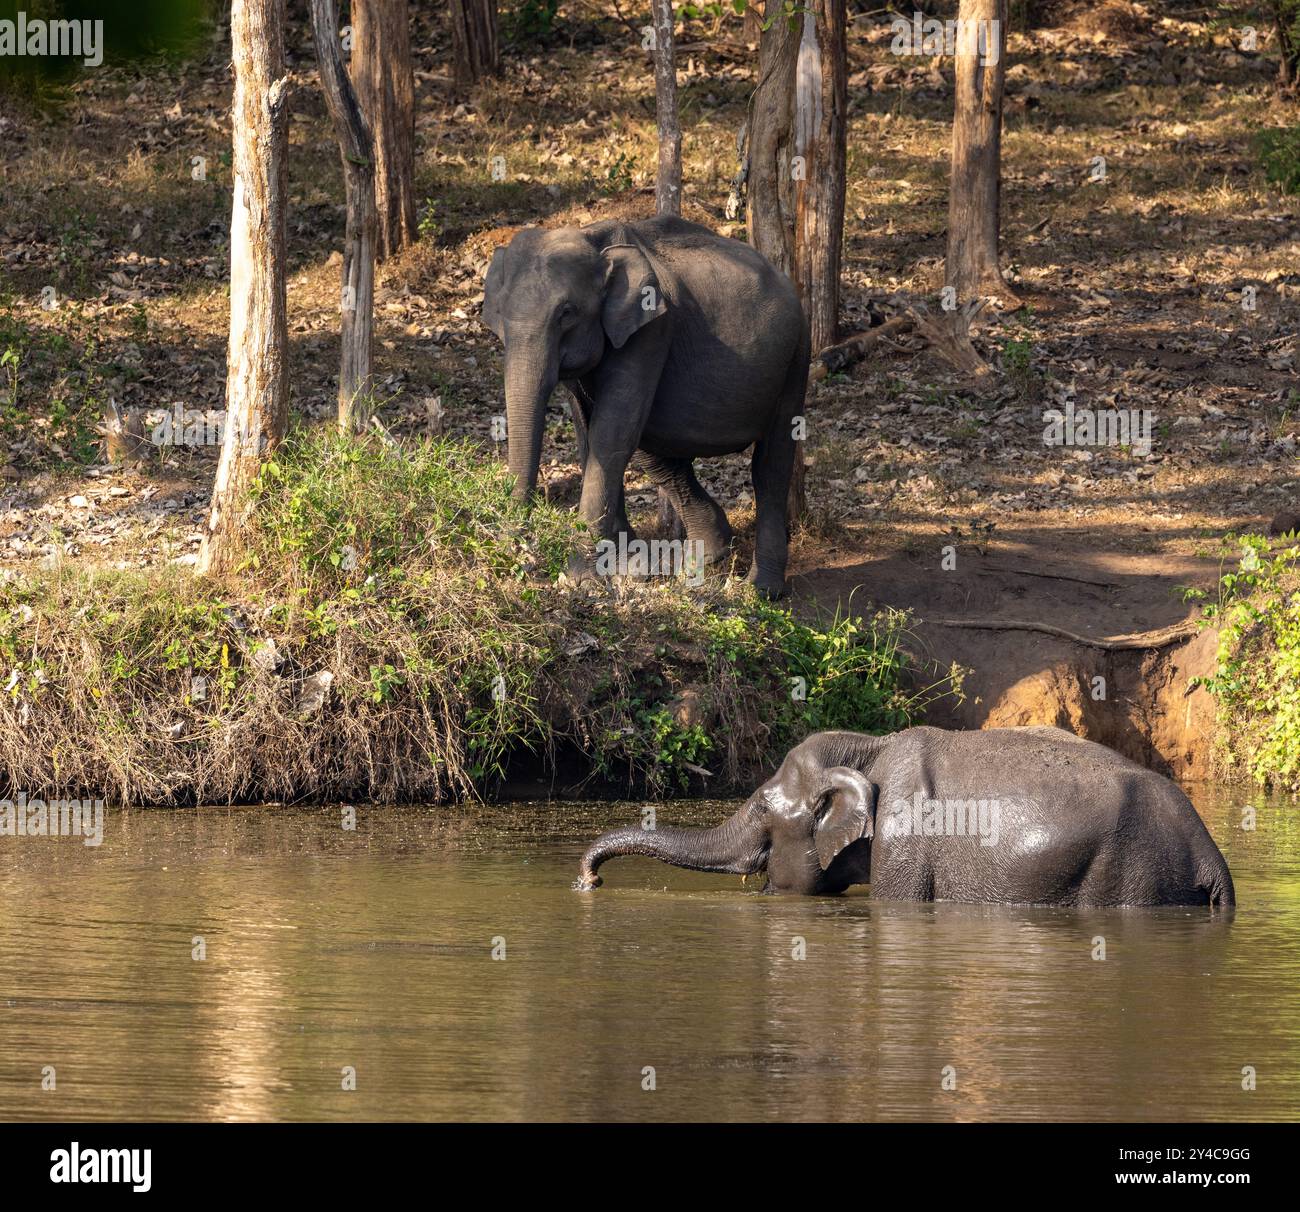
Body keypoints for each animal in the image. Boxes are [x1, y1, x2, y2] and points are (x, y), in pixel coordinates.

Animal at [481, 215, 810, 596]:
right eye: (499, 314)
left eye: (567, 313)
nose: (510, 557)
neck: (594, 240)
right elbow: (589, 436)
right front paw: (626, 566)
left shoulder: (652, 330)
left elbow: (611, 434)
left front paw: (581, 578)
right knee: (656, 451)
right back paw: (706, 557)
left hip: (795, 358)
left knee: (771, 463)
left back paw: (761, 589)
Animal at [574, 726, 1236, 908]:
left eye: (763, 808)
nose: (589, 879)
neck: (870, 745)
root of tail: (1212, 859)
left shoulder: (906, 847)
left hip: (1127, 876)